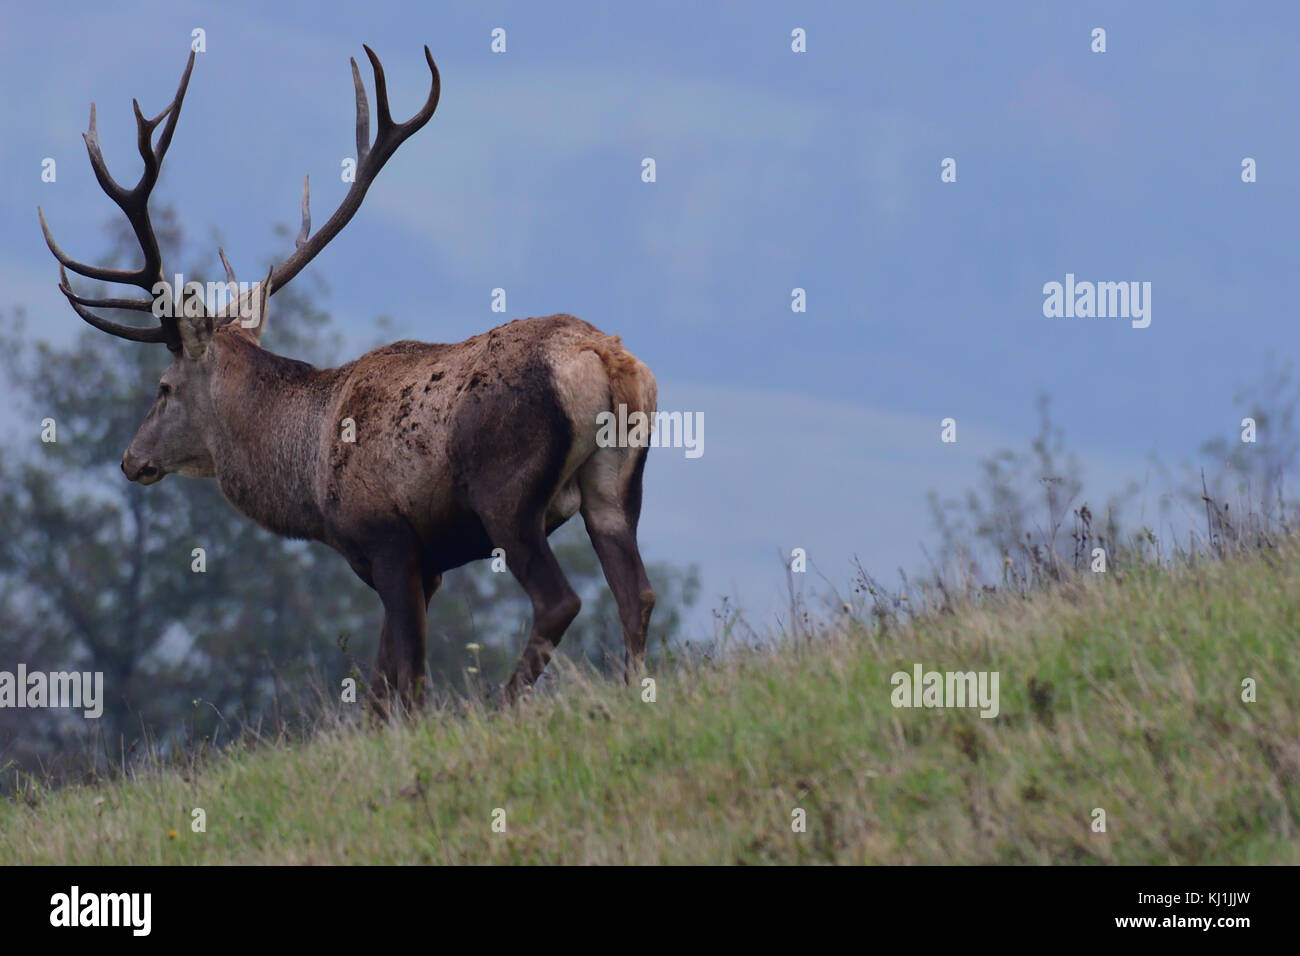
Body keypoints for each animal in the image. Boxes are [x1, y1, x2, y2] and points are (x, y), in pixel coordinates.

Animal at [37, 46, 658, 714]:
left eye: (163, 387)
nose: (131, 459)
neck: (307, 479)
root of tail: (604, 358)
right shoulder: (423, 563)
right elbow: (381, 686)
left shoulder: (387, 538)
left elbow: (406, 677)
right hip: (615, 484)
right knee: (638, 594)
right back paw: (633, 693)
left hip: (506, 492)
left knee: (559, 600)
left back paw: (501, 704)